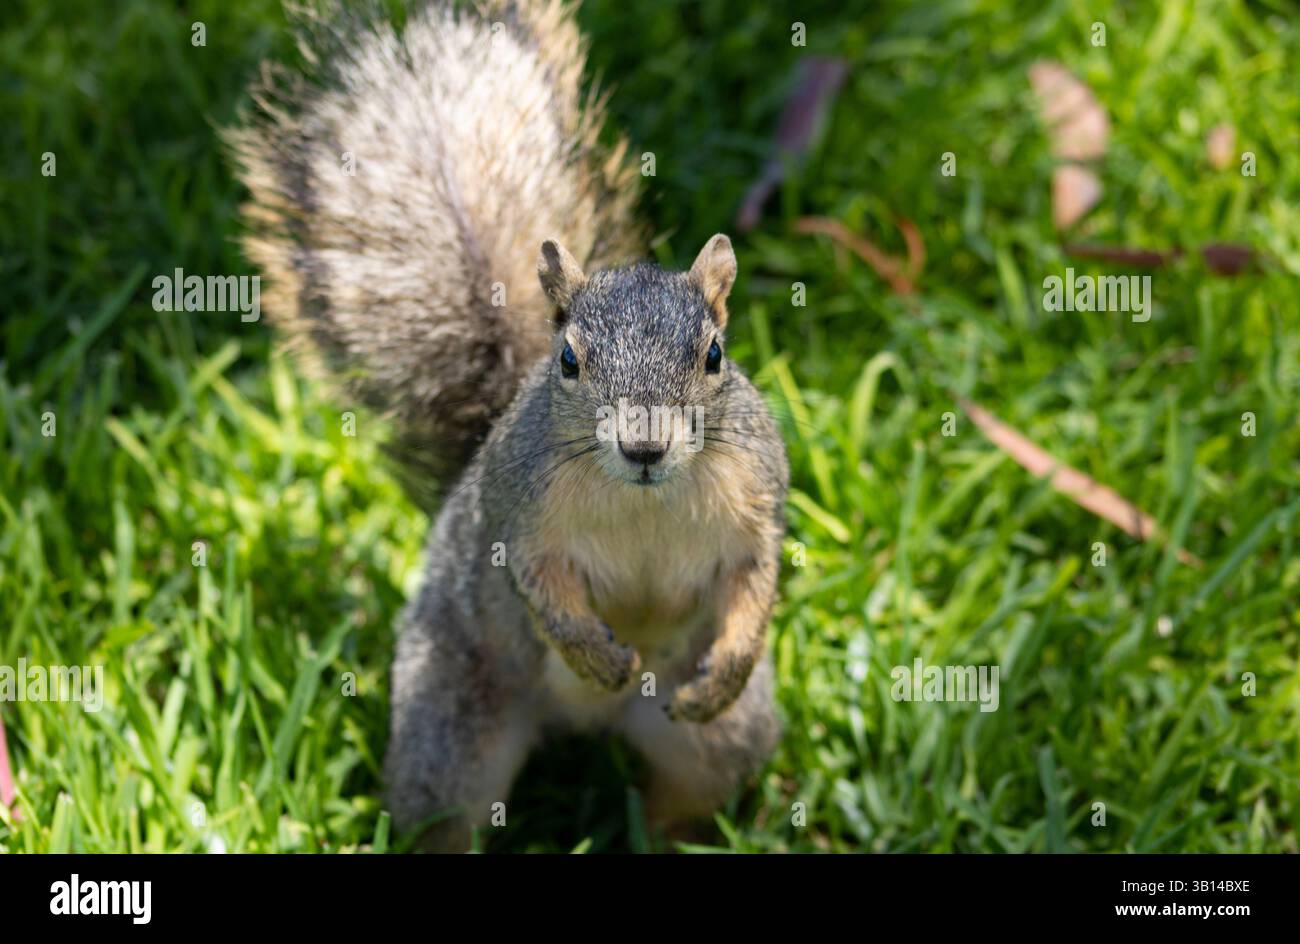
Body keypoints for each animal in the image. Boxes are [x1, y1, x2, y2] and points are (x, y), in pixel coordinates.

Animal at [230, 0, 789, 851]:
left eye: (715, 354)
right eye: (569, 360)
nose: (645, 446)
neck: (643, 499)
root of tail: (584, 727)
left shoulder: (756, 496)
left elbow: (755, 582)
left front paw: (727, 667)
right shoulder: (518, 510)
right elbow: (538, 583)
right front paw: (592, 653)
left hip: (714, 744)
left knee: (688, 790)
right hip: (452, 725)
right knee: (445, 811)